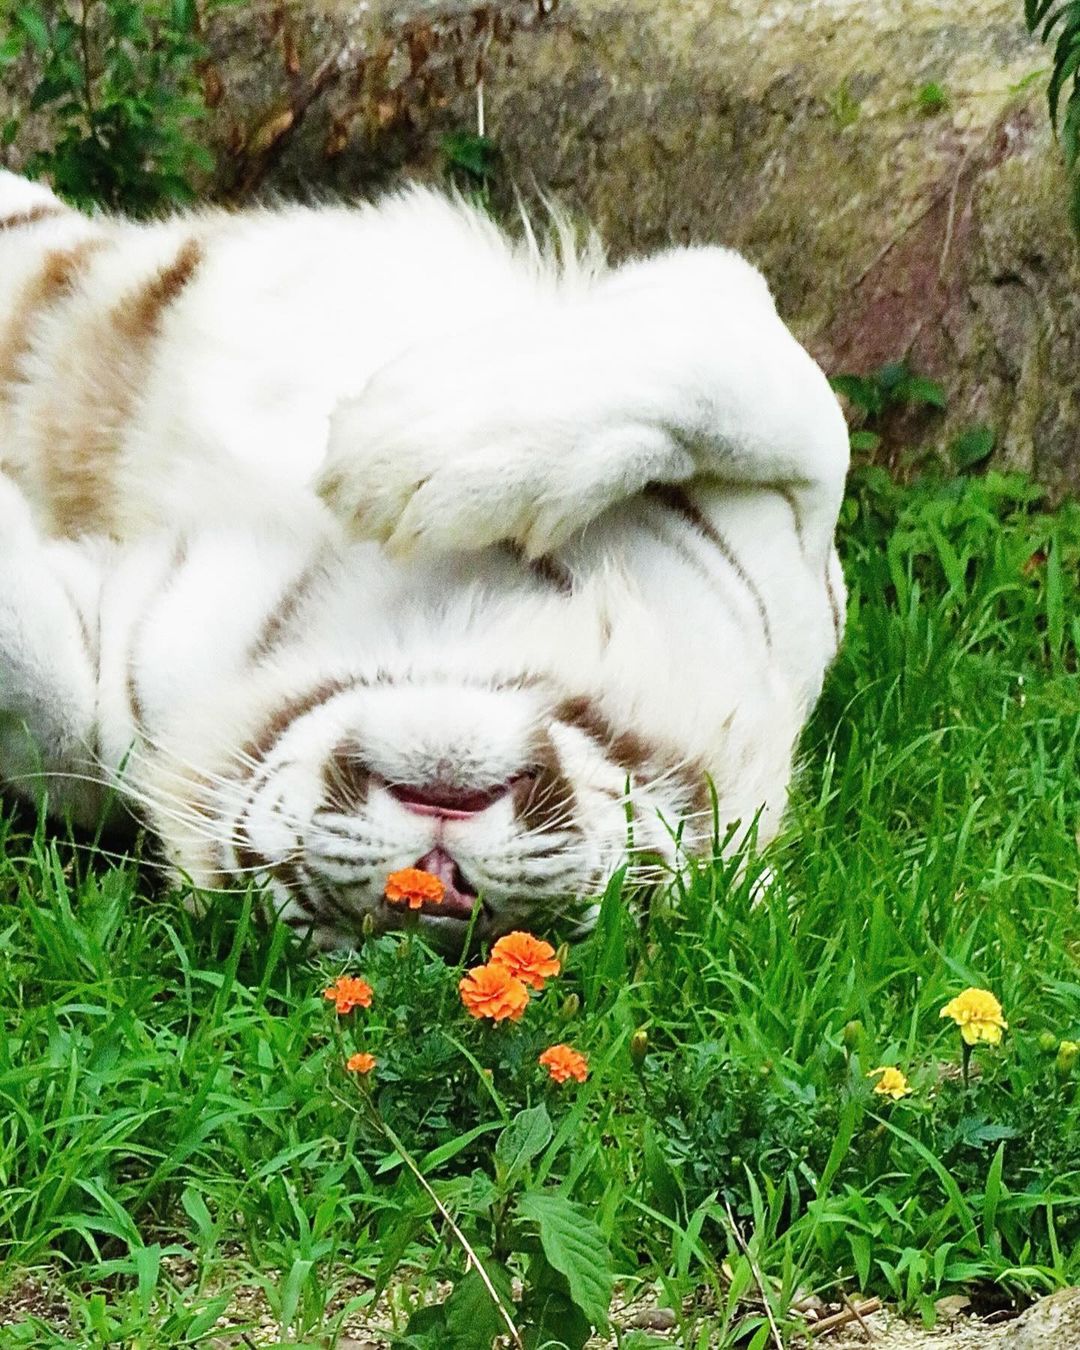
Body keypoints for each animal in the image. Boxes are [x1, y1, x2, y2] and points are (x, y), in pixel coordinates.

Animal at [0, 168, 848, 947]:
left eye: (561, 927)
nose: (438, 888)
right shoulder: (795, 547)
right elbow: (791, 406)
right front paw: (413, 447)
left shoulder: (100, 674)